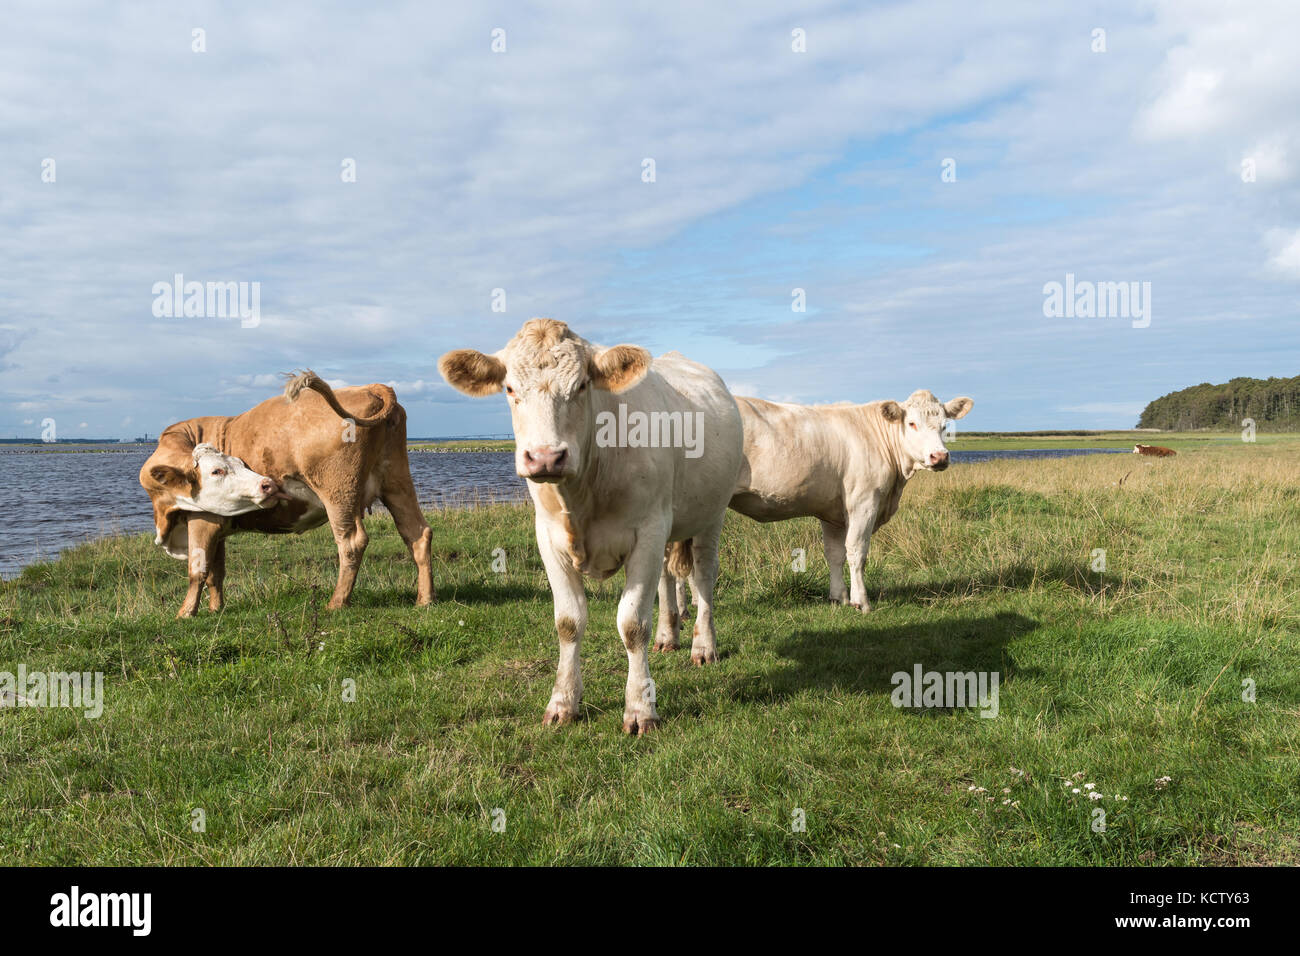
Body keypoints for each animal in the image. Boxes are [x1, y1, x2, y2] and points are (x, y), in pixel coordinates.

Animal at [139, 372, 434, 618]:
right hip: (396, 481)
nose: (267, 485)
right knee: (417, 532)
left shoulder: (203, 519)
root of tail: (370, 387)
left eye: (226, 467)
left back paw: (336, 603)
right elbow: (216, 572)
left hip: (339, 492)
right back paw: (425, 599)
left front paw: (185, 614)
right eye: (218, 470)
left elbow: (198, 570)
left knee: (351, 542)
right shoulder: (217, 525)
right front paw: (216, 609)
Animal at [438, 318, 743, 734]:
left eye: (582, 385)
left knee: (703, 577)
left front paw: (640, 709)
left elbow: (632, 624)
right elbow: (568, 622)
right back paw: (667, 635)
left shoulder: (648, 531)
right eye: (510, 388)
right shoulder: (548, 538)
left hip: (711, 515)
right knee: (667, 578)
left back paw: (703, 647)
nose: (545, 457)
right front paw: (562, 702)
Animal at [661, 389, 972, 623]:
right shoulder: (864, 502)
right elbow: (857, 552)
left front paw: (839, 597)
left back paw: (686, 608)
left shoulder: (832, 512)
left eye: (945, 425)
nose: (939, 456)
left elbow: (835, 554)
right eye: (911, 424)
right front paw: (861, 602)